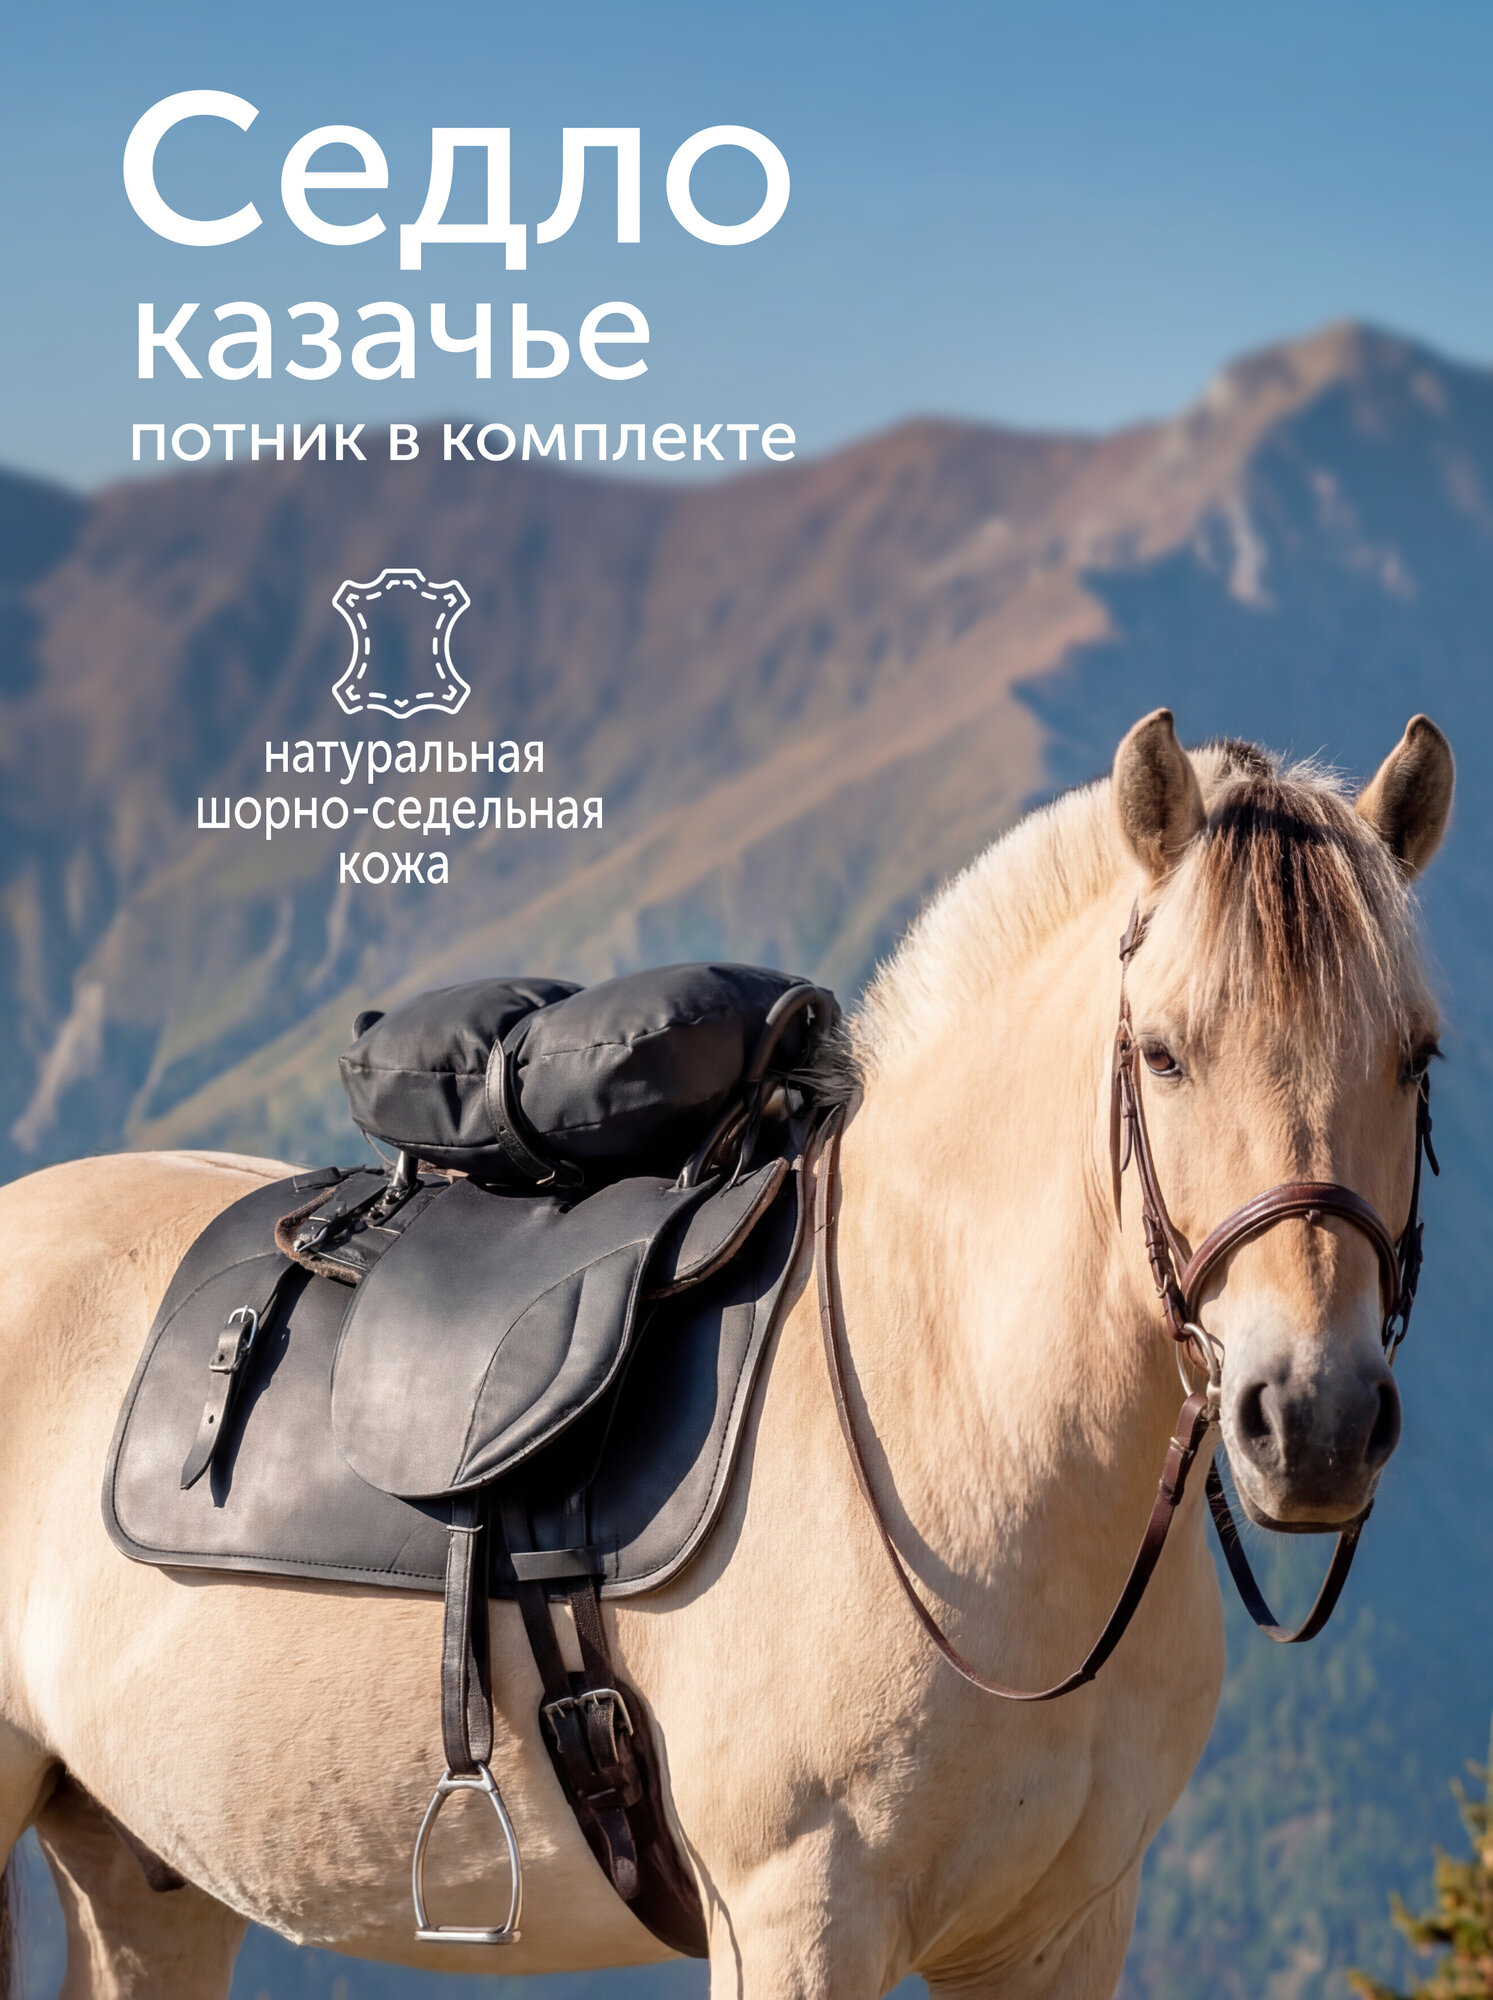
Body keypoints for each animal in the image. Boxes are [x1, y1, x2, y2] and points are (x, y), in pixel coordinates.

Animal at [0, 708, 1453, 1999]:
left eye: (1414, 1055)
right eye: (1162, 1052)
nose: (1313, 1418)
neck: (967, 1422)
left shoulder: (1061, 1936)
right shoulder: (797, 1919)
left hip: (145, 1869)